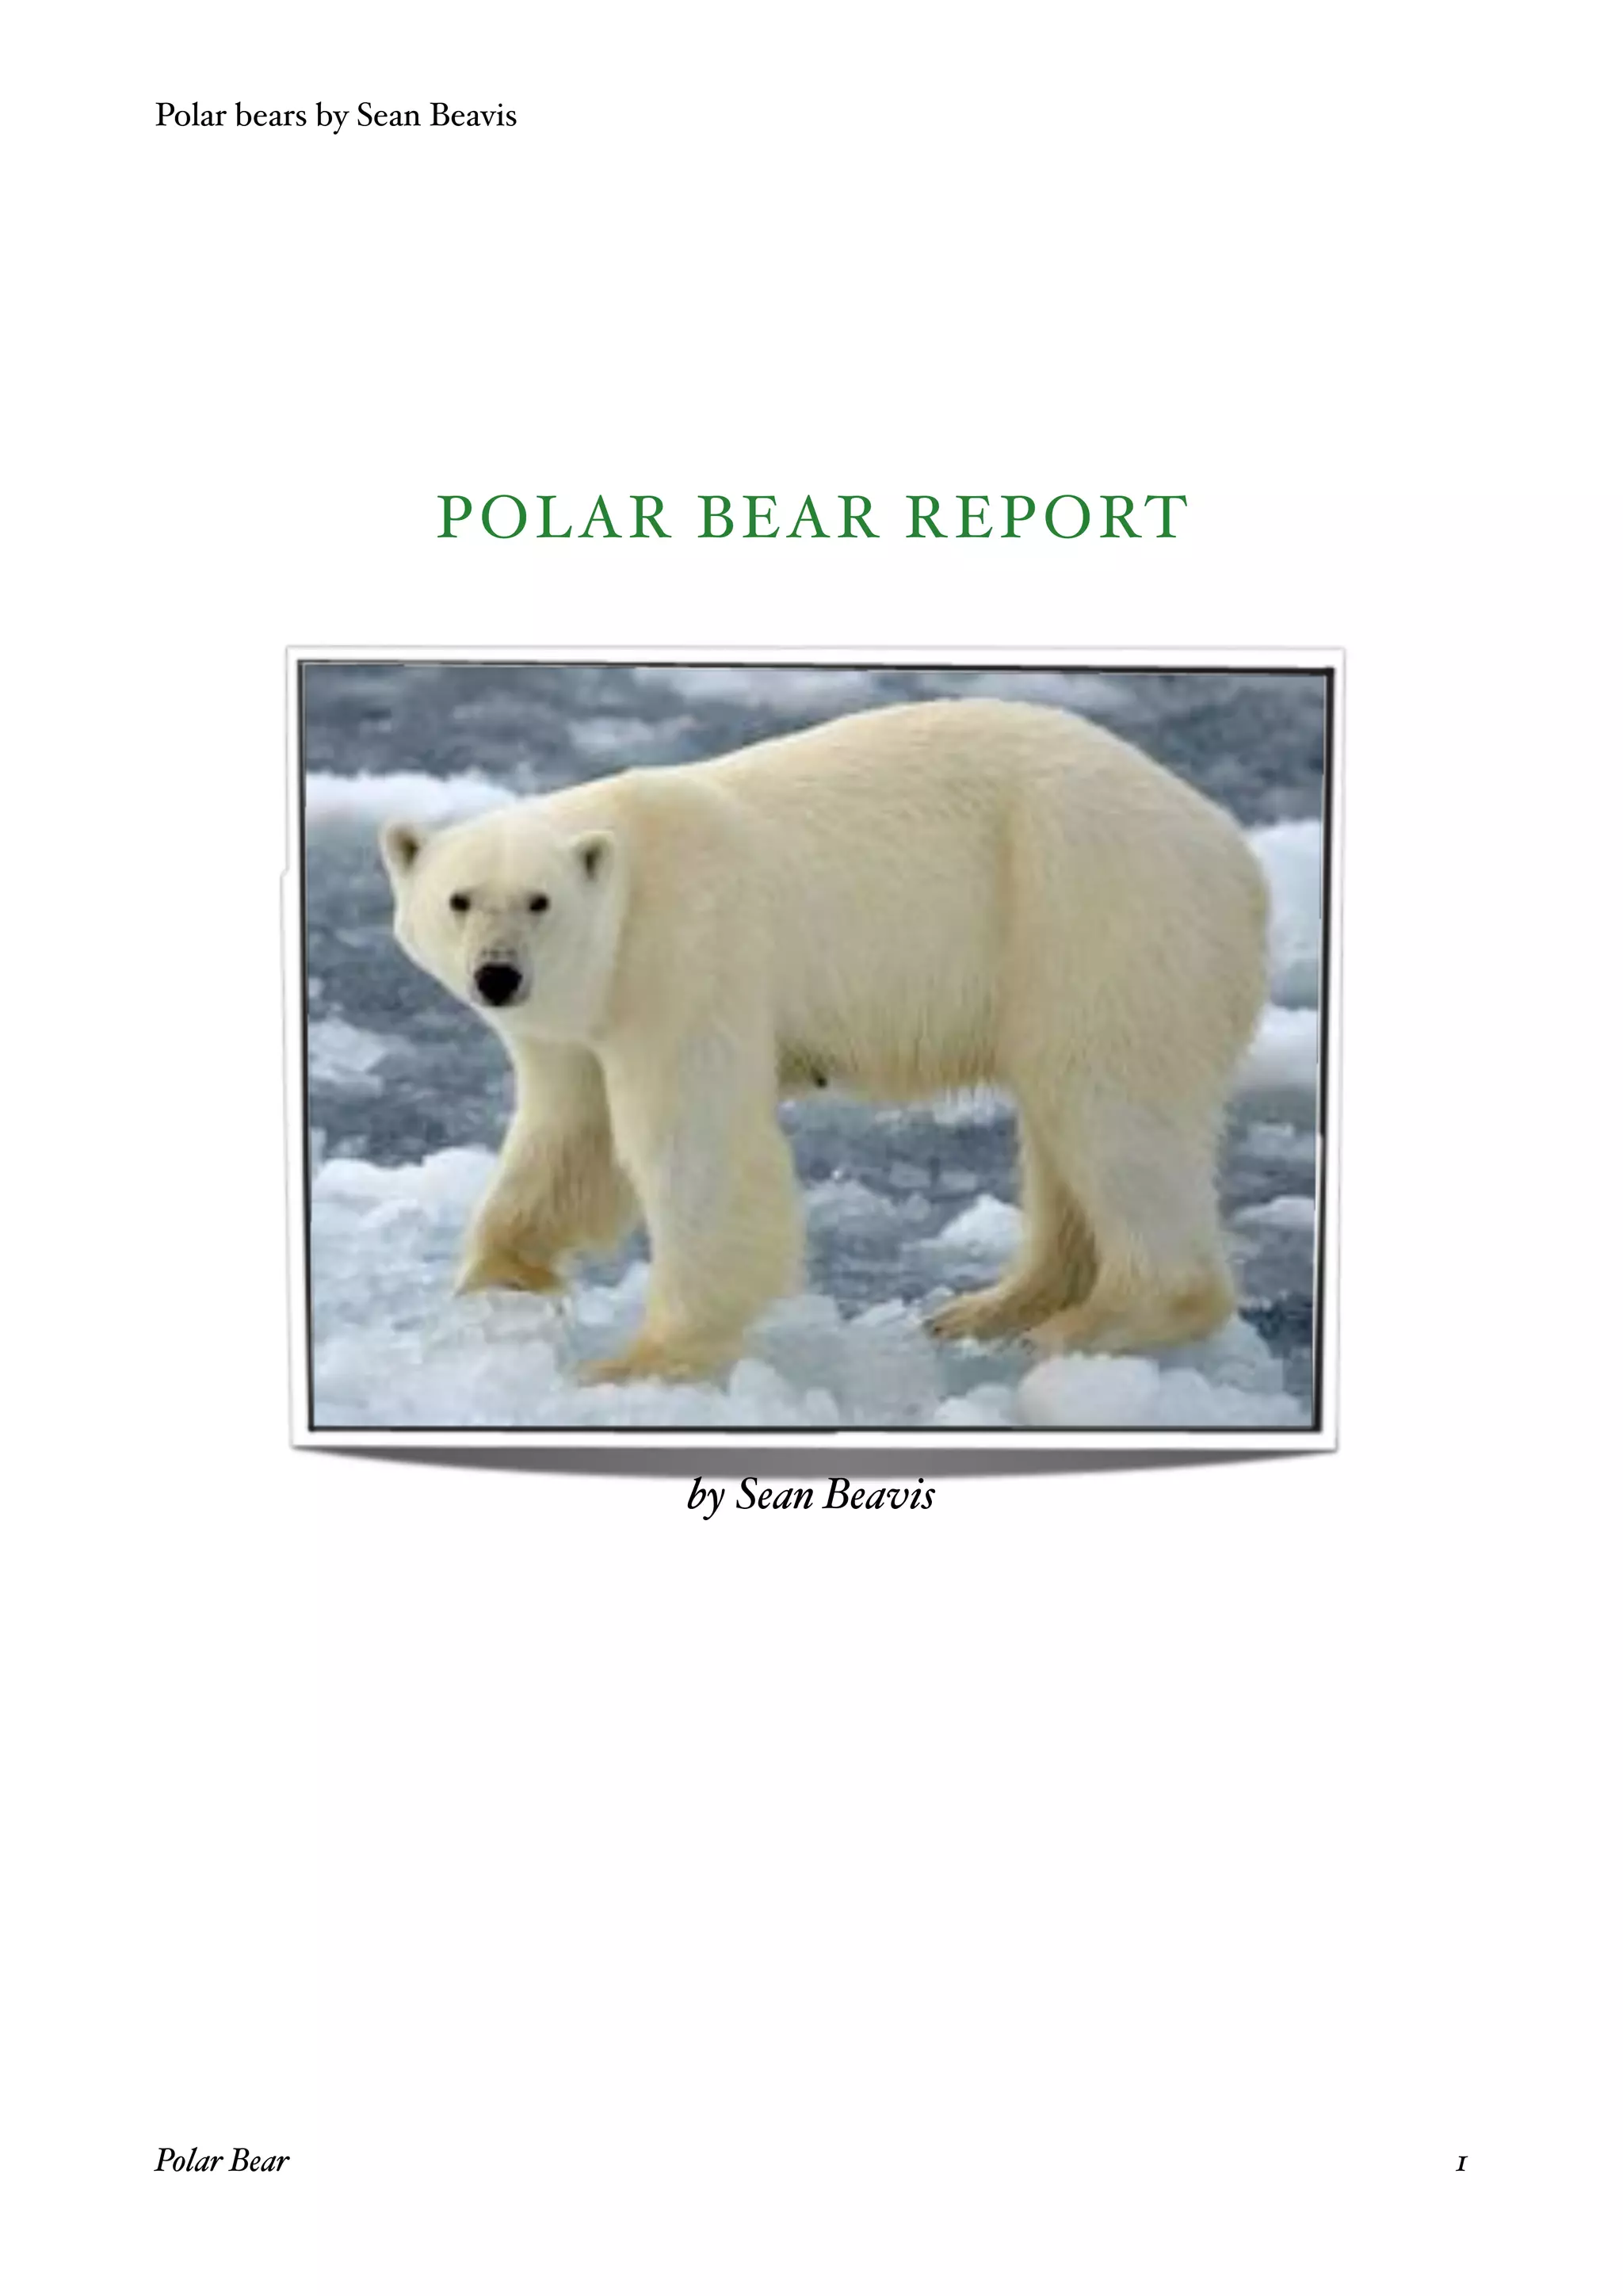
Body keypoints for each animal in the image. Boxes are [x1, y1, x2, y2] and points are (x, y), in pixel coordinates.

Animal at [379, 697, 1270, 1386]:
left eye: (539, 901)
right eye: (459, 898)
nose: (498, 976)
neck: (632, 868)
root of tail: (1238, 857)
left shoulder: (687, 953)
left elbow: (694, 1144)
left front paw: (642, 1359)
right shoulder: (580, 1016)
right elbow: (573, 1136)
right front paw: (500, 1277)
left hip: (1093, 907)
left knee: (1112, 1108)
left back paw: (1097, 1320)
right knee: (1065, 1127)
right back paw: (989, 1307)